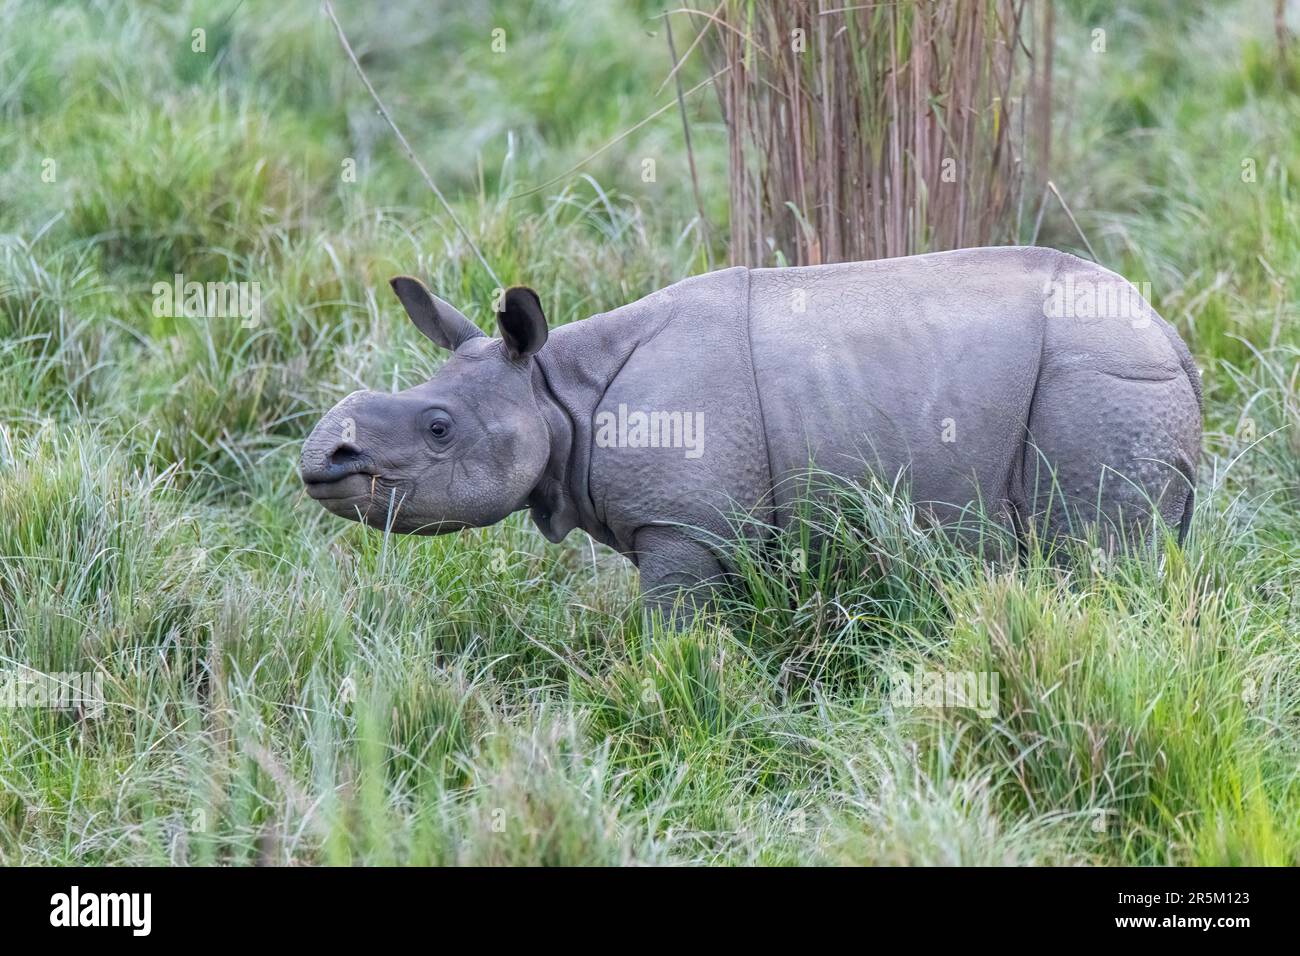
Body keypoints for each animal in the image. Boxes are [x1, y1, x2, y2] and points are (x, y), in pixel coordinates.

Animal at [300, 246, 1201, 620]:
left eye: (438, 428)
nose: (320, 461)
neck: (557, 389)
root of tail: (1169, 333)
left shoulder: (682, 526)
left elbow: (674, 633)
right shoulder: (716, 526)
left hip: (1101, 381)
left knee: (1098, 557)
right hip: (1122, 379)